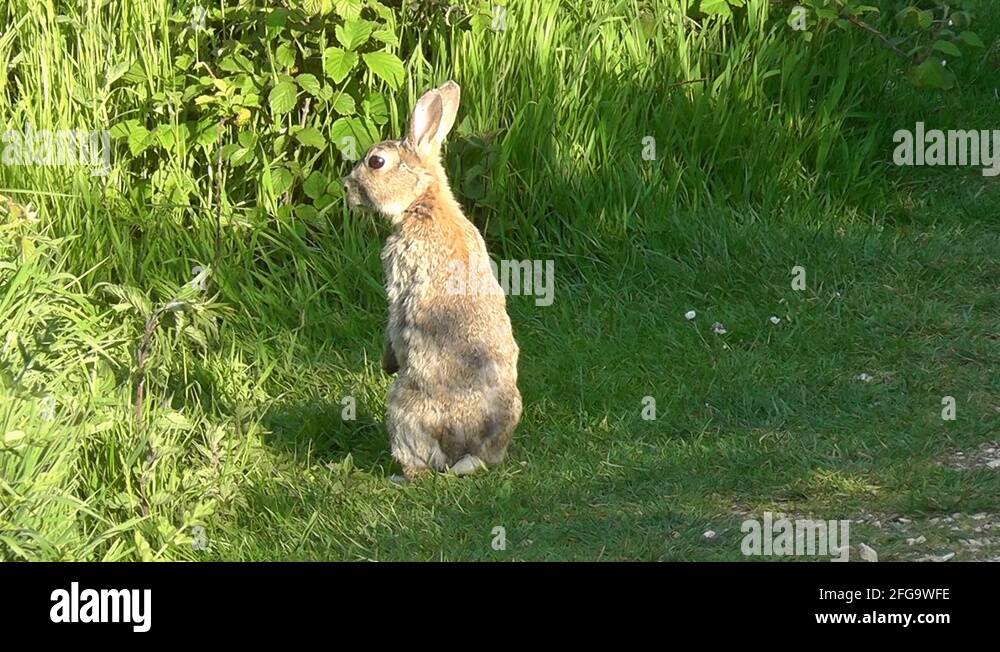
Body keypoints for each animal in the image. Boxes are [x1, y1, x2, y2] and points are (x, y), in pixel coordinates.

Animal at [343, 81, 522, 480]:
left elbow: (395, 319)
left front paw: (387, 362)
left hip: (404, 409)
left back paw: (400, 475)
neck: (423, 202)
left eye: (376, 162)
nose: (346, 188)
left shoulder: (400, 279)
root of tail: (472, 453)